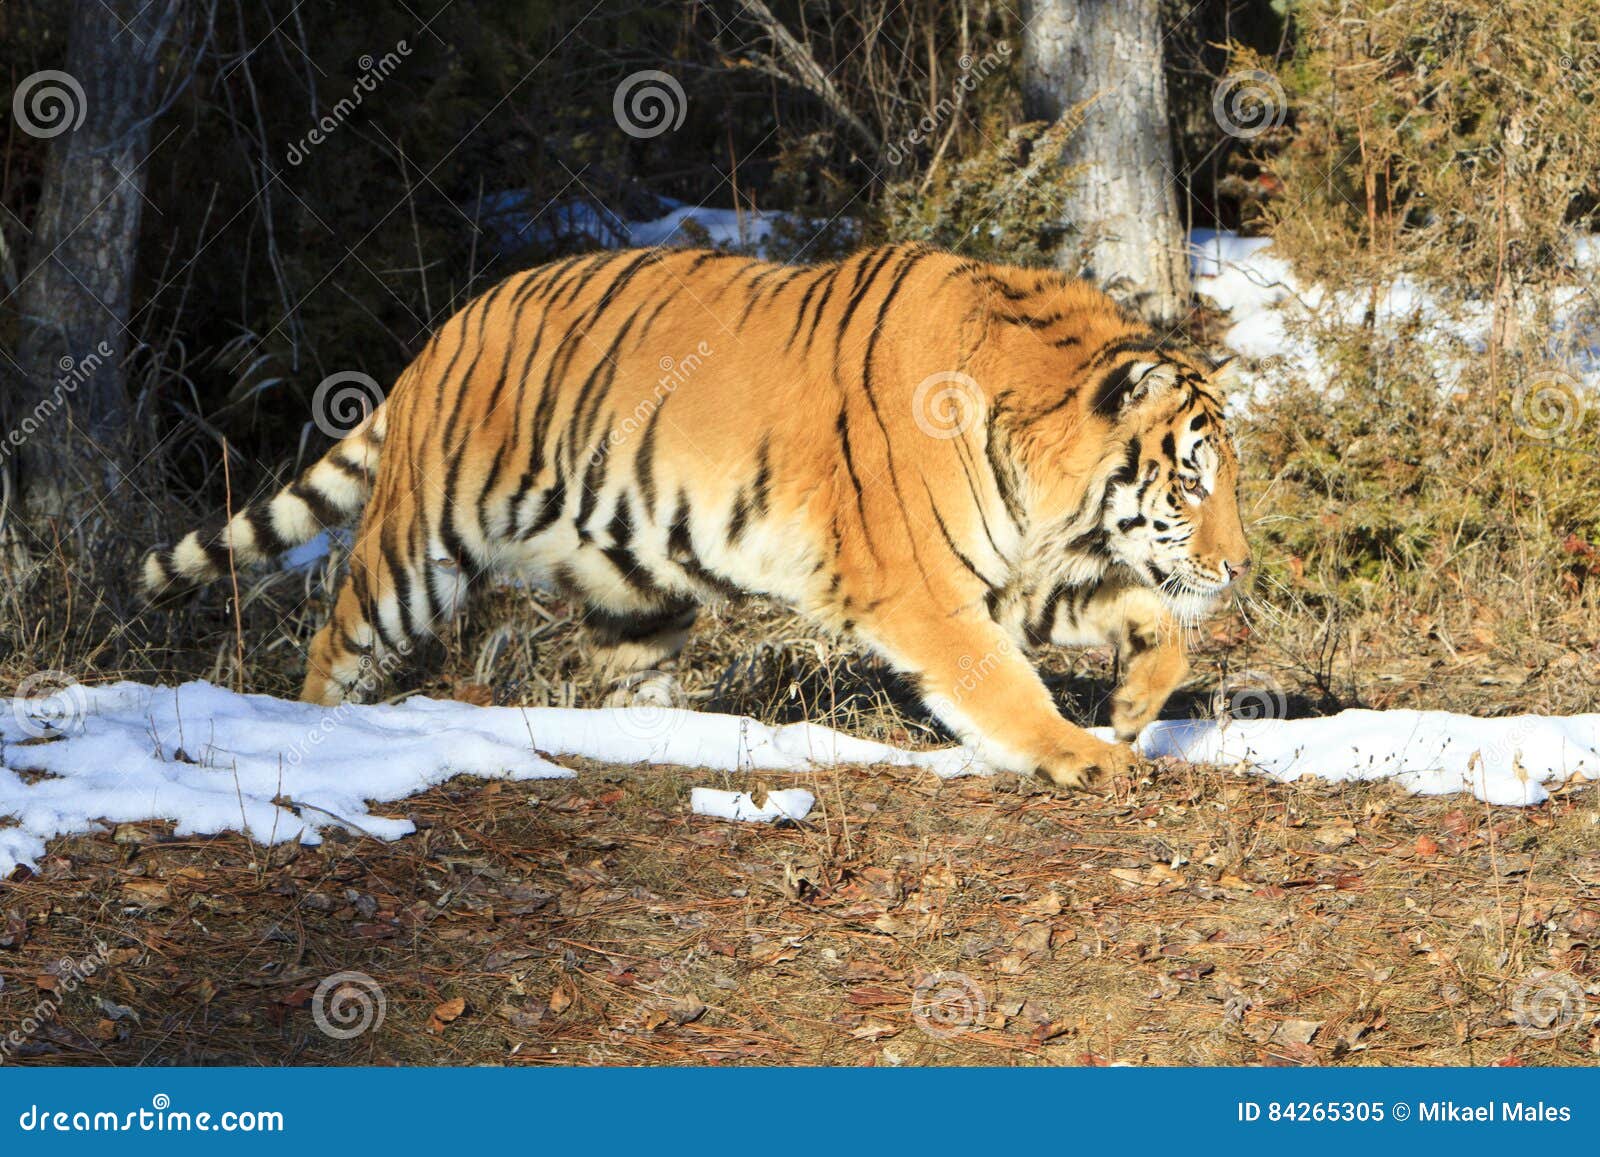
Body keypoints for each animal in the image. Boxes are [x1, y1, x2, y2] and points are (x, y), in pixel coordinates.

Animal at [142, 243, 1250, 790]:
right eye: (1192, 483)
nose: (1239, 566)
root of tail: (448, 326)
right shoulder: (922, 588)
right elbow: (1008, 685)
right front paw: (1084, 754)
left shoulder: (1011, 573)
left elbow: (1148, 617)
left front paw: (1134, 705)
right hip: (422, 542)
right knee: (339, 640)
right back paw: (309, 734)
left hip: (635, 584)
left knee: (627, 684)